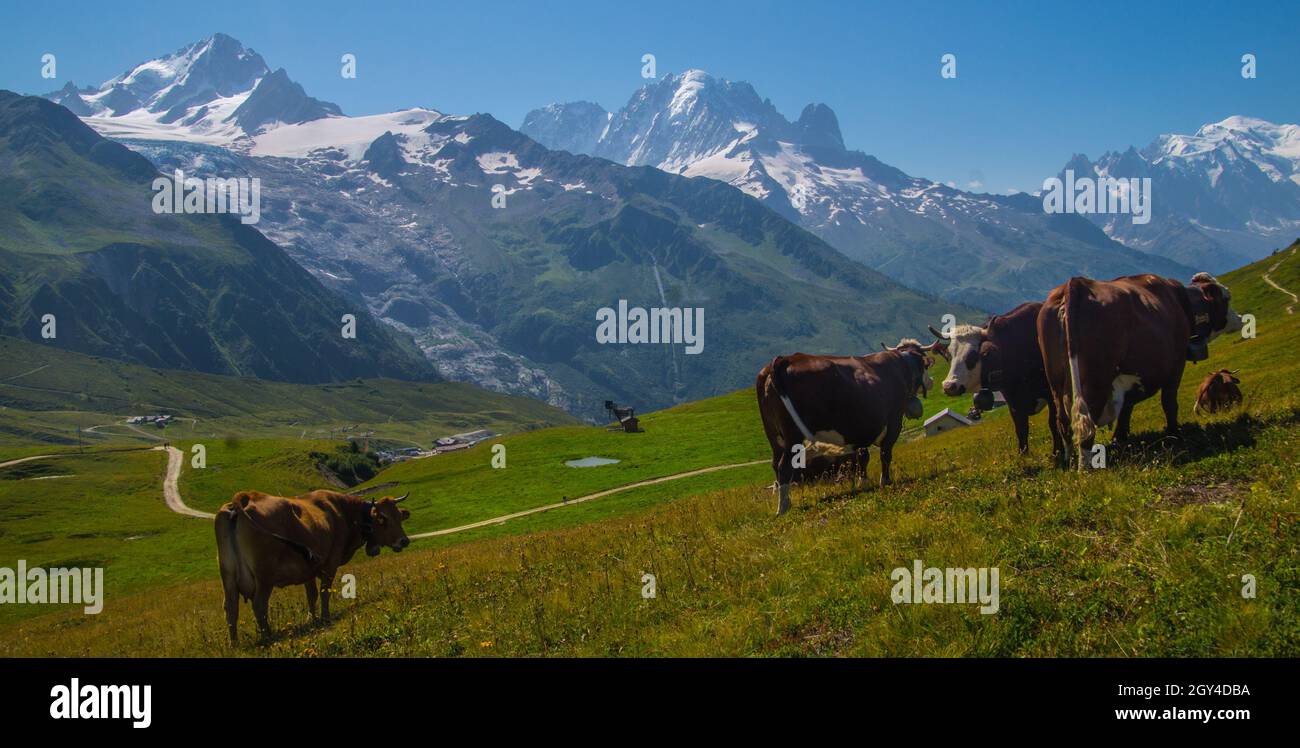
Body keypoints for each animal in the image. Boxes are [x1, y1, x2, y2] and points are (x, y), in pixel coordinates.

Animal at [215, 489, 411, 644]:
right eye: (383, 519)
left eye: (399, 516)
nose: (404, 541)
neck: (343, 513)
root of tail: (244, 498)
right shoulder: (330, 563)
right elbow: (324, 591)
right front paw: (325, 617)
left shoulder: (306, 569)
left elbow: (311, 594)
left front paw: (312, 618)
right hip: (264, 578)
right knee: (259, 605)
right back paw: (267, 637)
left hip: (228, 577)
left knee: (231, 608)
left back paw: (234, 643)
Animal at [755, 336, 947, 515]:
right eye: (925, 365)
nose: (931, 381)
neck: (901, 366)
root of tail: (781, 360)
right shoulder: (894, 419)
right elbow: (885, 453)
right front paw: (885, 481)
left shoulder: (861, 427)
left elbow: (863, 455)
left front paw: (864, 482)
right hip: (793, 435)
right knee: (784, 466)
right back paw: (783, 507)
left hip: (773, 435)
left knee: (775, 465)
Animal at [932, 302, 1062, 456]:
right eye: (949, 355)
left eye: (973, 355)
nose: (949, 386)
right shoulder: (1013, 401)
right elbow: (1021, 429)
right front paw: (1023, 455)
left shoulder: (1052, 395)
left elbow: (1054, 423)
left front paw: (1058, 454)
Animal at [1037, 272, 1243, 470]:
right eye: (1227, 297)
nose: (1240, 319)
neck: (1179, 302)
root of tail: (1075, 285)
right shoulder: (1175, 367)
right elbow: (1169, 403)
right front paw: (1174, 434)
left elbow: (1126, 410)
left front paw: (1120, 438)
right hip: (1095, 380)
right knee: (1086, 425)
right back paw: (1084, 469)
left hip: (1056, 382)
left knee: (1063, 422)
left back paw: (1069, 462)